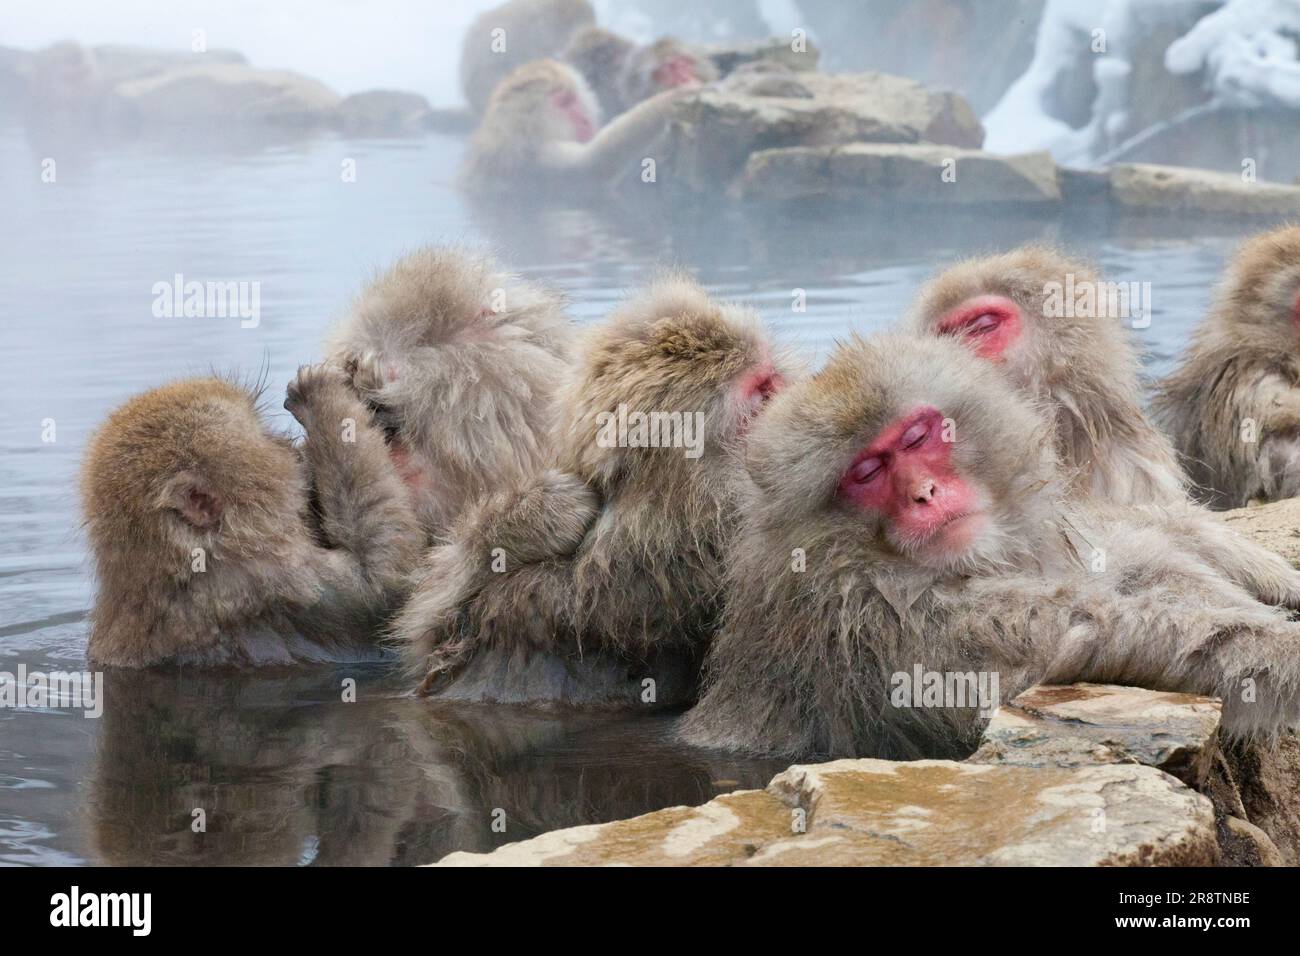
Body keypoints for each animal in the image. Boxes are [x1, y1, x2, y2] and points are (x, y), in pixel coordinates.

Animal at [460, 59, 691, 194]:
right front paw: (673, 98)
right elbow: (593, 166)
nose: (584, 120)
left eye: (574, 99)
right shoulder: (540, 160)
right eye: (564, 103)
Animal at [680, 334, 1300, 760]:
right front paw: (1285, 651)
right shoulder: (888, 623)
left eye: (916, 437)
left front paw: (1268, 577)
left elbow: (1131, 556)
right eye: (866, 472)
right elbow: (1094, 630)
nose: (924, 494)